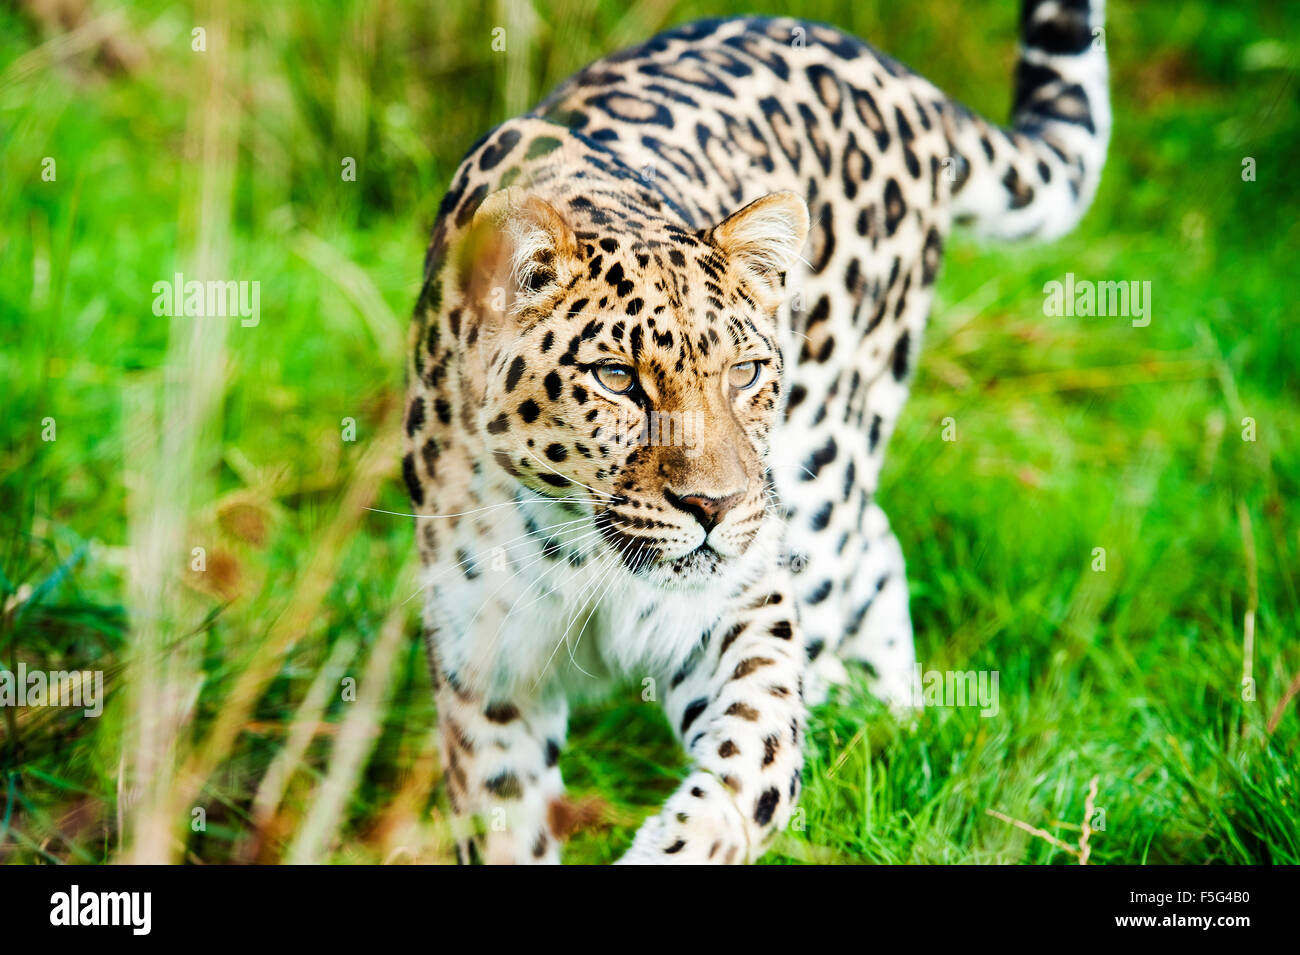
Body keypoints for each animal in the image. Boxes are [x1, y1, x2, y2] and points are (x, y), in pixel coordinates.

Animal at [403, 0, 1109, 864]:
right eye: (617, 378)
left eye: (743, 372)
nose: (716, 507)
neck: (580, 551)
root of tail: (895, 74)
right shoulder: (489, 678)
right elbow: (504, 824)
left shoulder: (737, 609)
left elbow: (754, 764)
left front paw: (672, 845)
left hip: (827, 469)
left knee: (863, 547)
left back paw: (883, 718)